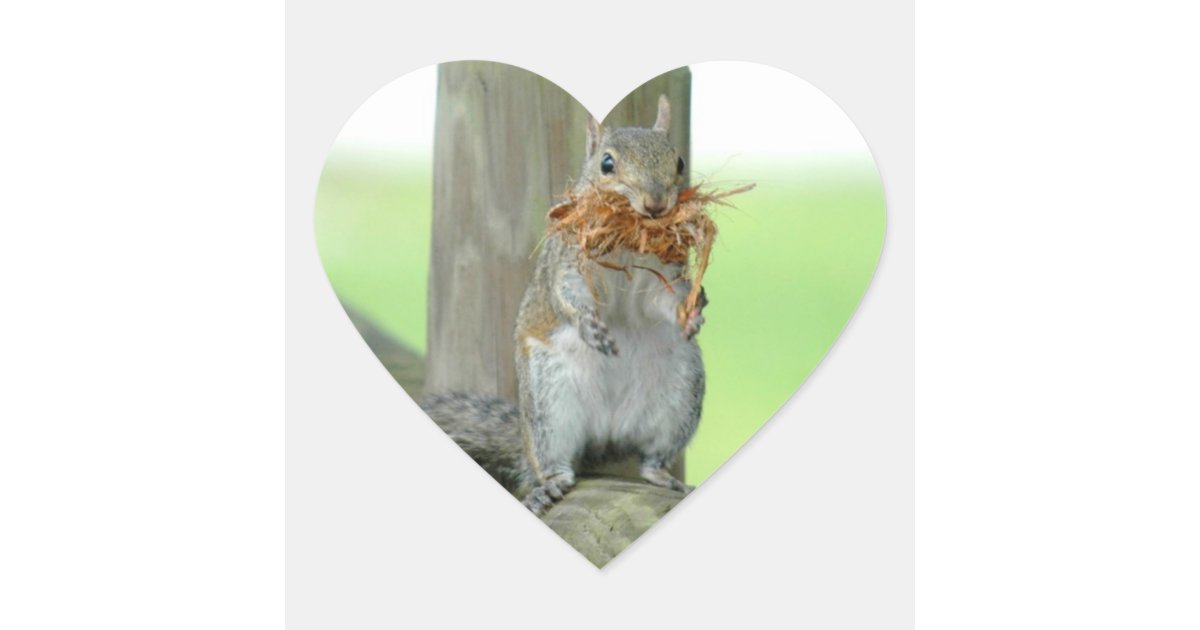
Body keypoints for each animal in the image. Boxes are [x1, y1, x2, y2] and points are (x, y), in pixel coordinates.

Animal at [421, 95, 706, 515]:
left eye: (680, 162)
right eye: (607, 163)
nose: (655, 203)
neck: (628, 239)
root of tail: (606, 433)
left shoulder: (664, 271)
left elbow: (665, 301)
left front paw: (692, 313)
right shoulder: (569, 261)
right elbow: (568, 293)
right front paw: (590, 326)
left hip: (680, 393)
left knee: (652, 457)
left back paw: (664, 478)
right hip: (547, 403)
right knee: (552, 462)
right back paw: (549, 485)